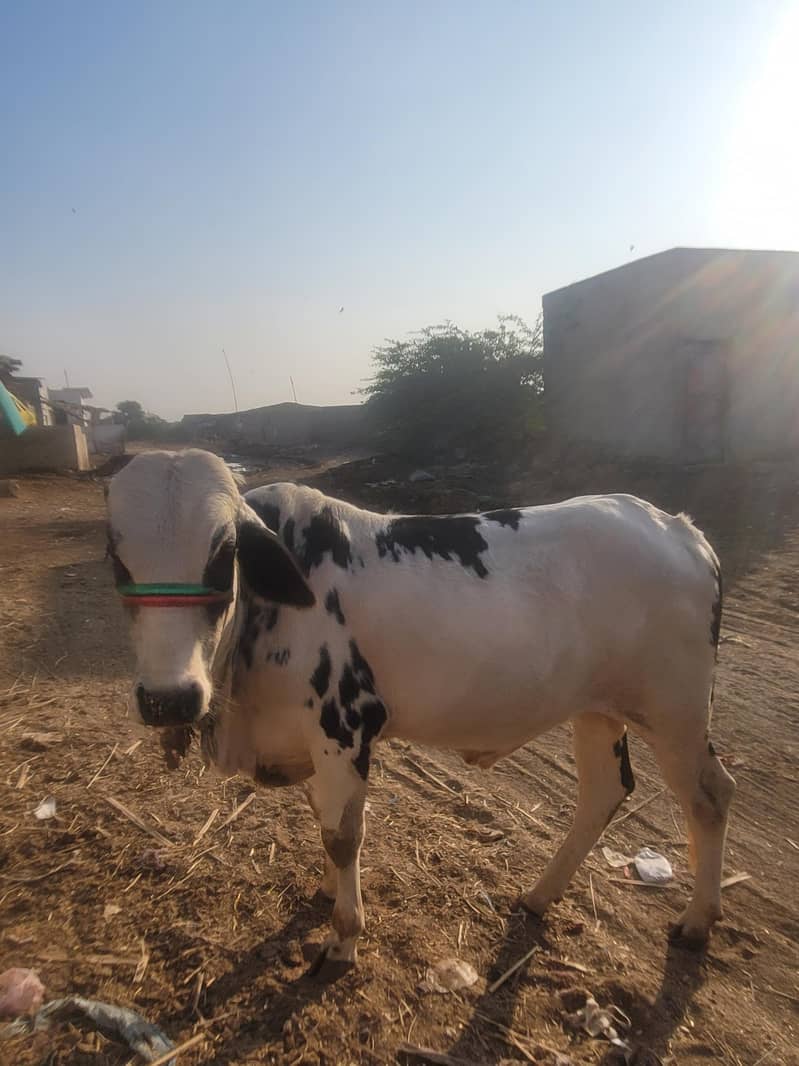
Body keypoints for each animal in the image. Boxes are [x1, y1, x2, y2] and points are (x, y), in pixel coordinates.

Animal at [106, 448, 735, 965]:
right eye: (116, 559)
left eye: (225, 552)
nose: (168, 698)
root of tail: (679, 528)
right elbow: (324, 820)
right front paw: (327, 891)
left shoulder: (346, 728)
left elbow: (342, 835)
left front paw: (344, 937)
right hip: (597, 709)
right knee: (604, 792)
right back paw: (539, 895)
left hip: (676, 712)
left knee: (710, 796)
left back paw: (697, 921)